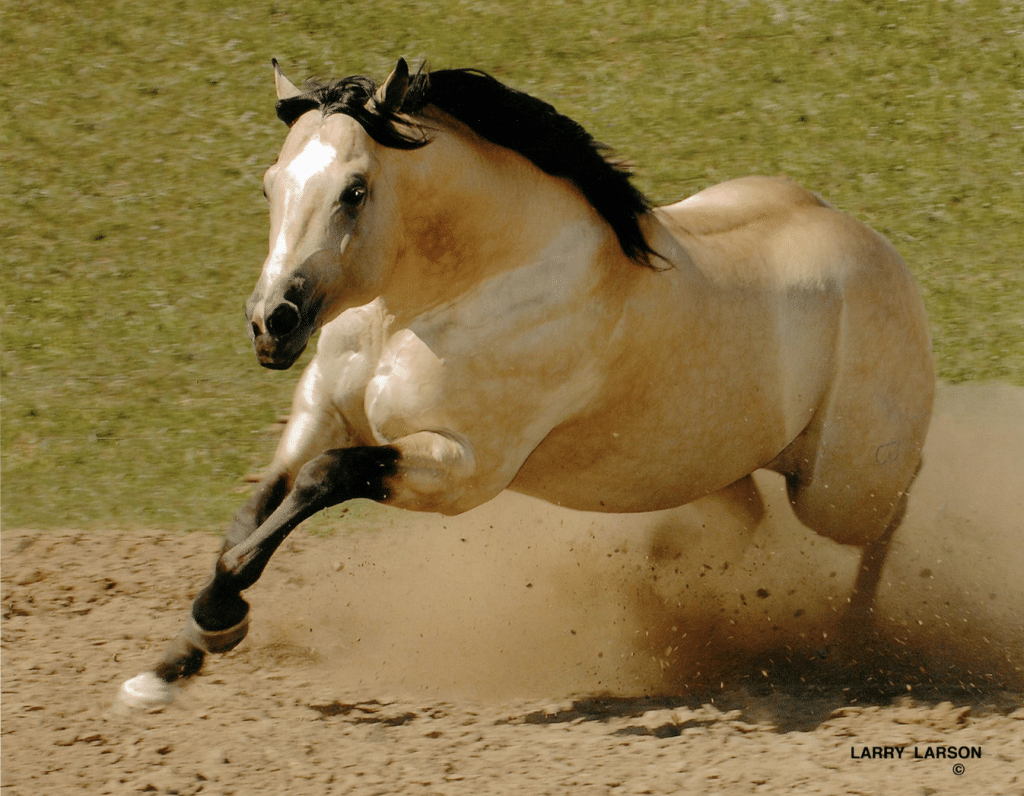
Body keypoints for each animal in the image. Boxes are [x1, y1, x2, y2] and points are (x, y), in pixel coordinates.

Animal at [119, 58, 934, 708]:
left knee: (891, 514)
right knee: (747, 520)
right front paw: (182, 652)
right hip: (702, 465)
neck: (439, 300)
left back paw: (856, 650)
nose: (272, 323)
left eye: (353, 191)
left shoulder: (462, 469)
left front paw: (219, 614)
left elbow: (327, 477)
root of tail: (876, 248)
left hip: (837, 488)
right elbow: (258, 503)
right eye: (270, 186)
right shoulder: (322, 410)